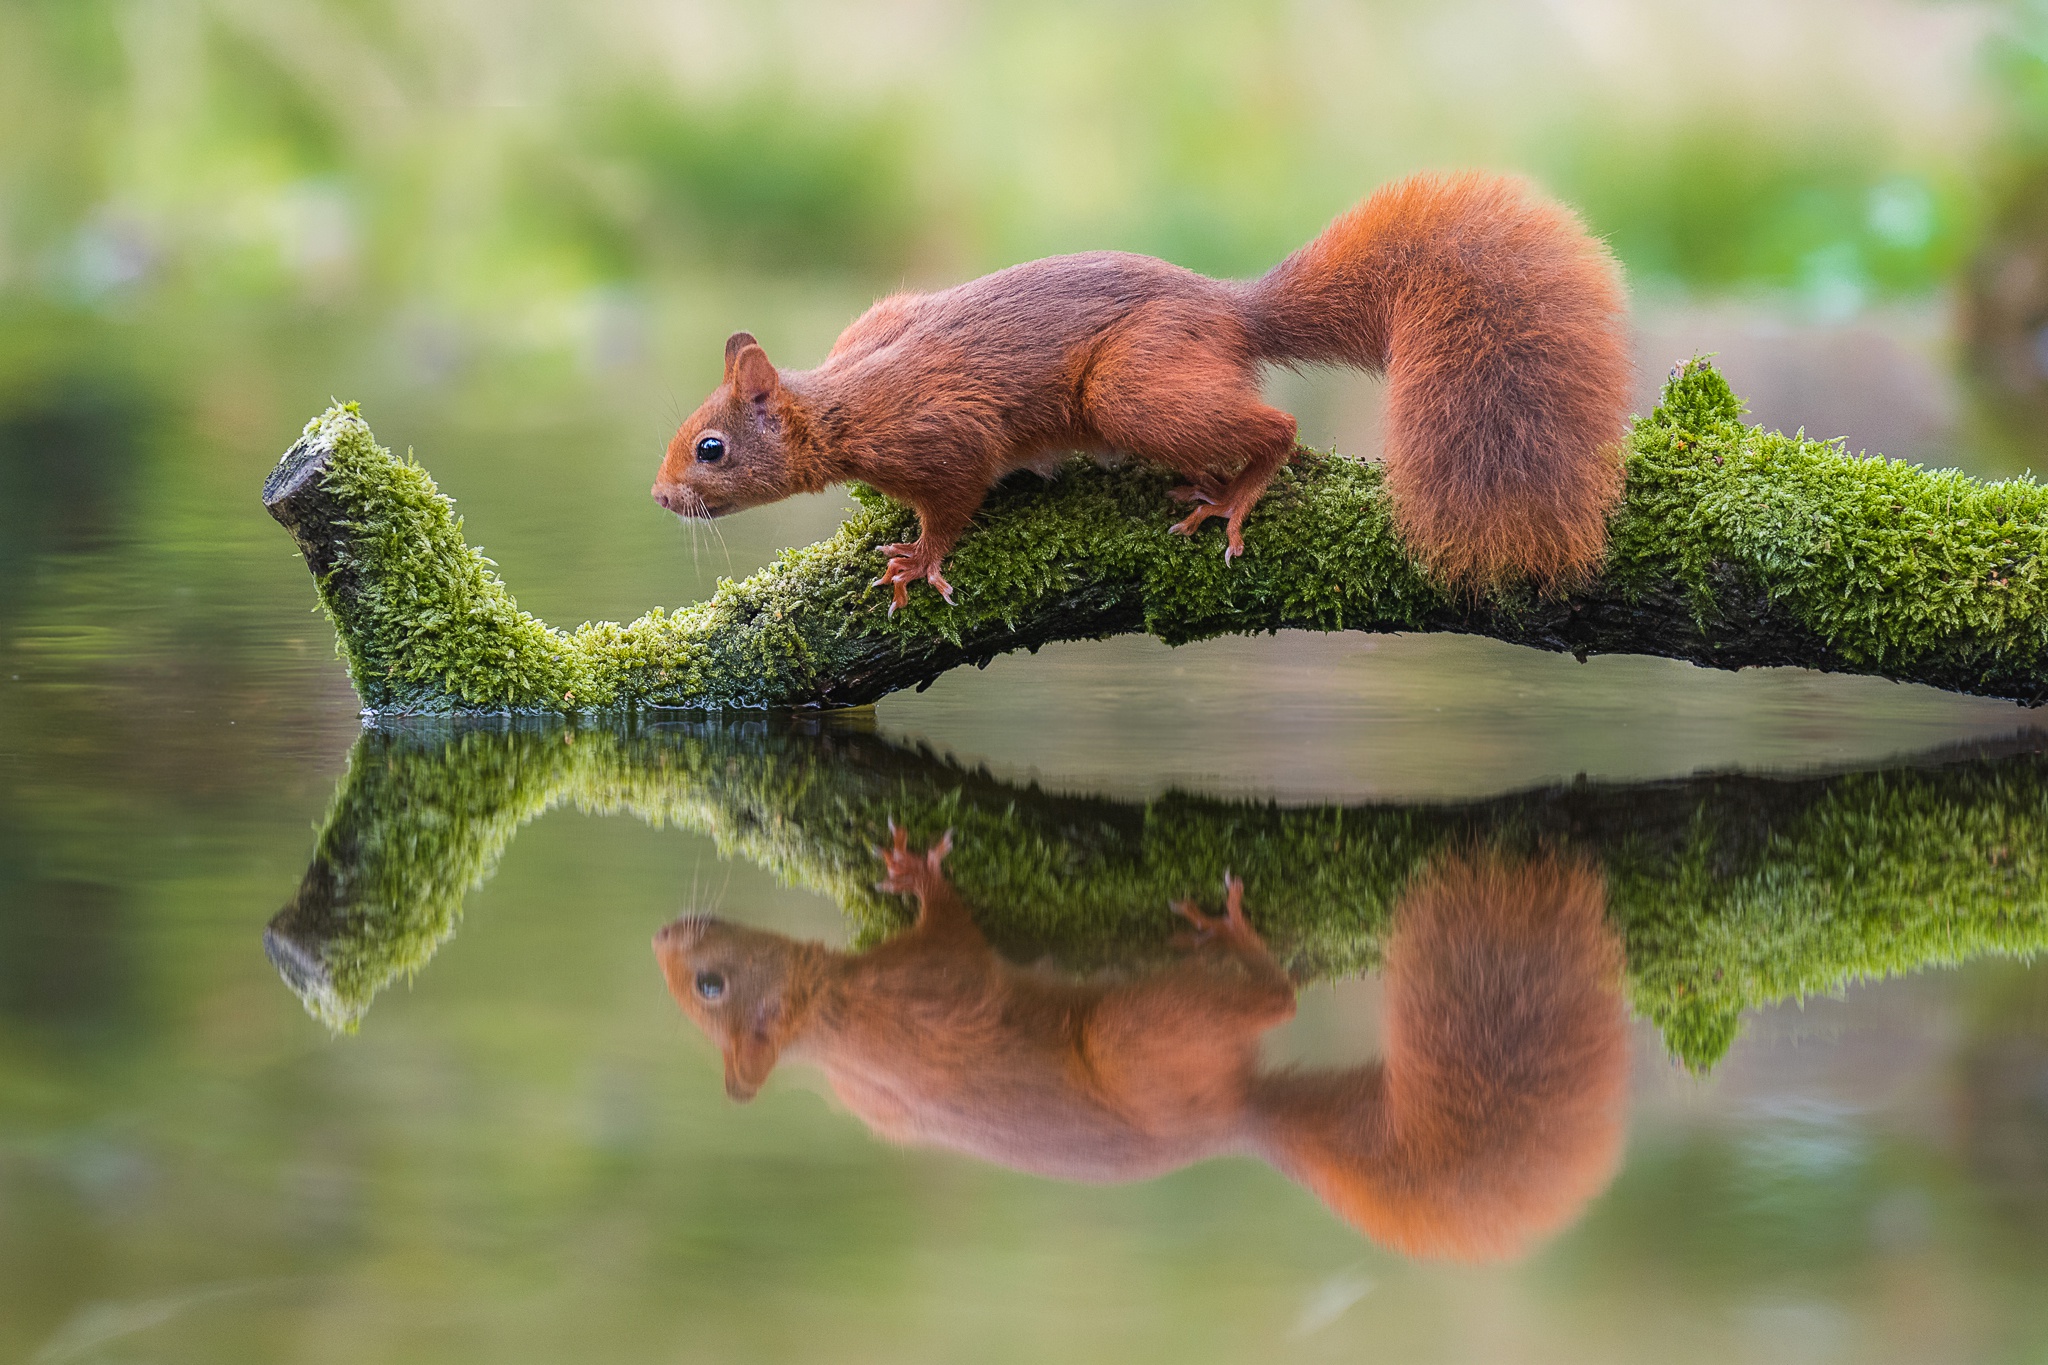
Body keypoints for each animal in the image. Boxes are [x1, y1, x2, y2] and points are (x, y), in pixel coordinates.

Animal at [651, 172, 1631, 611]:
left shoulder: (939, 433)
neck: (842, 400)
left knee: (1278, 423)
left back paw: (1237, 493)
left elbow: (956, 497)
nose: (660, 498)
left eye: (712, 448)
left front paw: (919, 557)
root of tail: (1230, 309)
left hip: (1134, 388)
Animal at [651, 831, 1631, 1261]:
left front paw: (918, 874)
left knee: (1272, 1002)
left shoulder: (925, 999)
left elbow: (954, 942)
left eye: (711, 987)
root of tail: (1234, 1122)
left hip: (1134, 1042)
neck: (835, 1018)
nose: (663, 935)